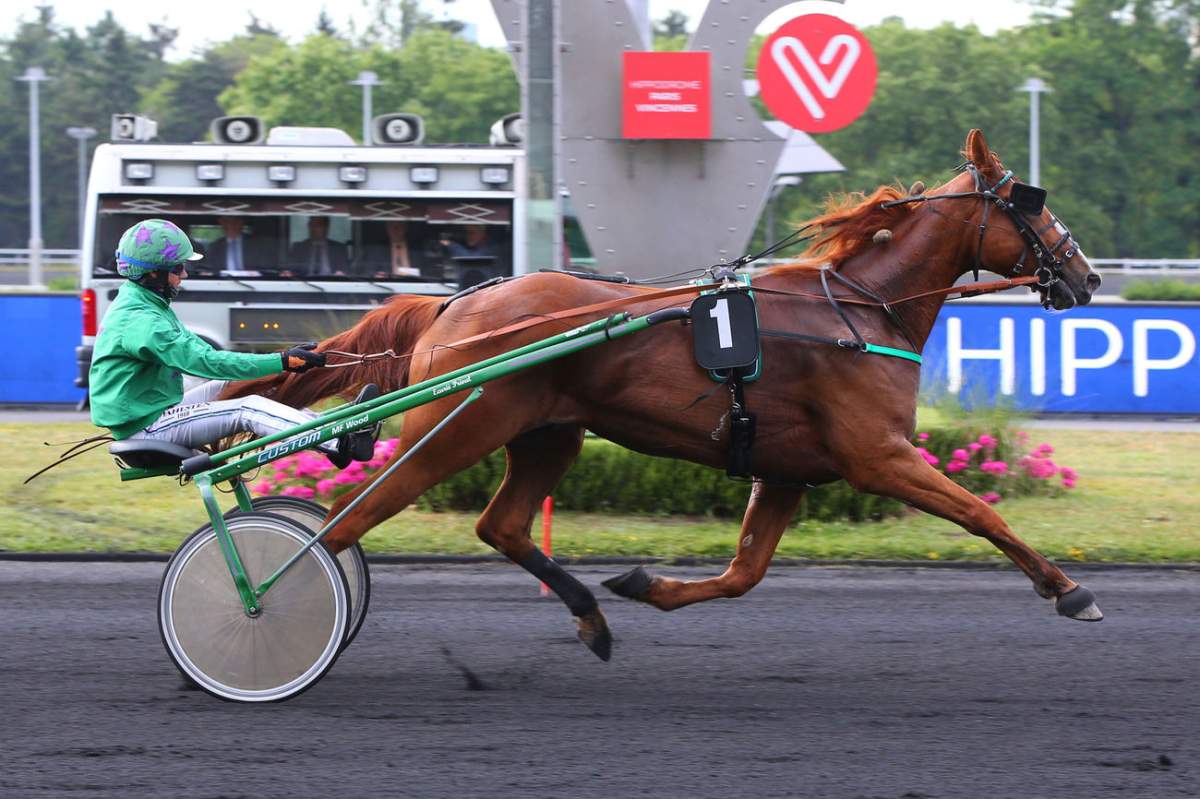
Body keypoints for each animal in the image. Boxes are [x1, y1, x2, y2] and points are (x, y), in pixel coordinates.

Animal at [226, 130, 1103, 661]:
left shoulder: (787, 469)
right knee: (348, 523)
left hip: (548, 433)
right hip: (454, 430)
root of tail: (454, 305)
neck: (858, 309)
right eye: (1031, 202)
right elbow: (983, 512)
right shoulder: (877, 455)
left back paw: (591, 612)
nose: (1087, 275)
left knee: (500, 523)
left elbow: (744, 572)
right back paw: (268, 606)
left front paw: (644, 584)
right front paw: (1069, 590)